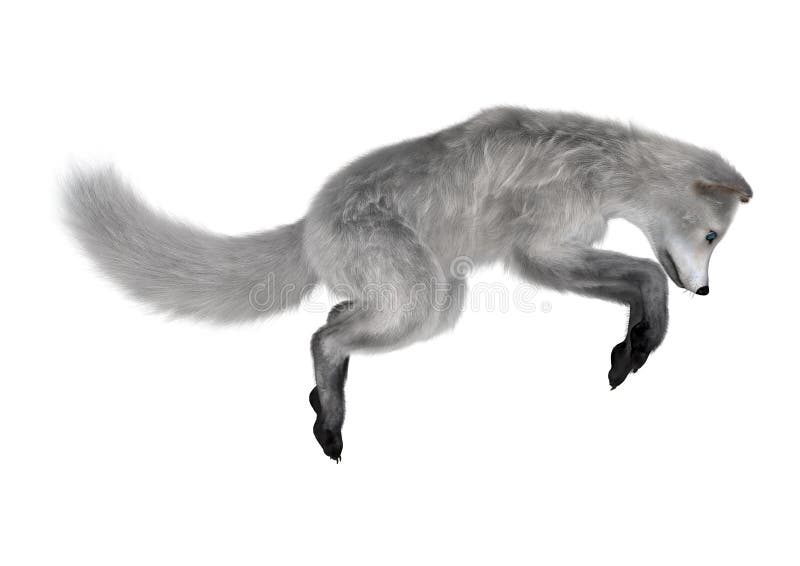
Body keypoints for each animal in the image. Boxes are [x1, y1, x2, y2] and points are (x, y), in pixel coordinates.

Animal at [64, 107, 752, 461]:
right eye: (713, 237)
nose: (706, 293)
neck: (597, 167)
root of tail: (309, 223)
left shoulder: (562, 250)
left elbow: (644, 284)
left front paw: (633, 345)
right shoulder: (541, 252)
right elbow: (647, 277)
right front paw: (638, 343)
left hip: (426, 299)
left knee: (333, 318)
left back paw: (321, 400)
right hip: (425, 306)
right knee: (323, 336)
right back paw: (330, 421)